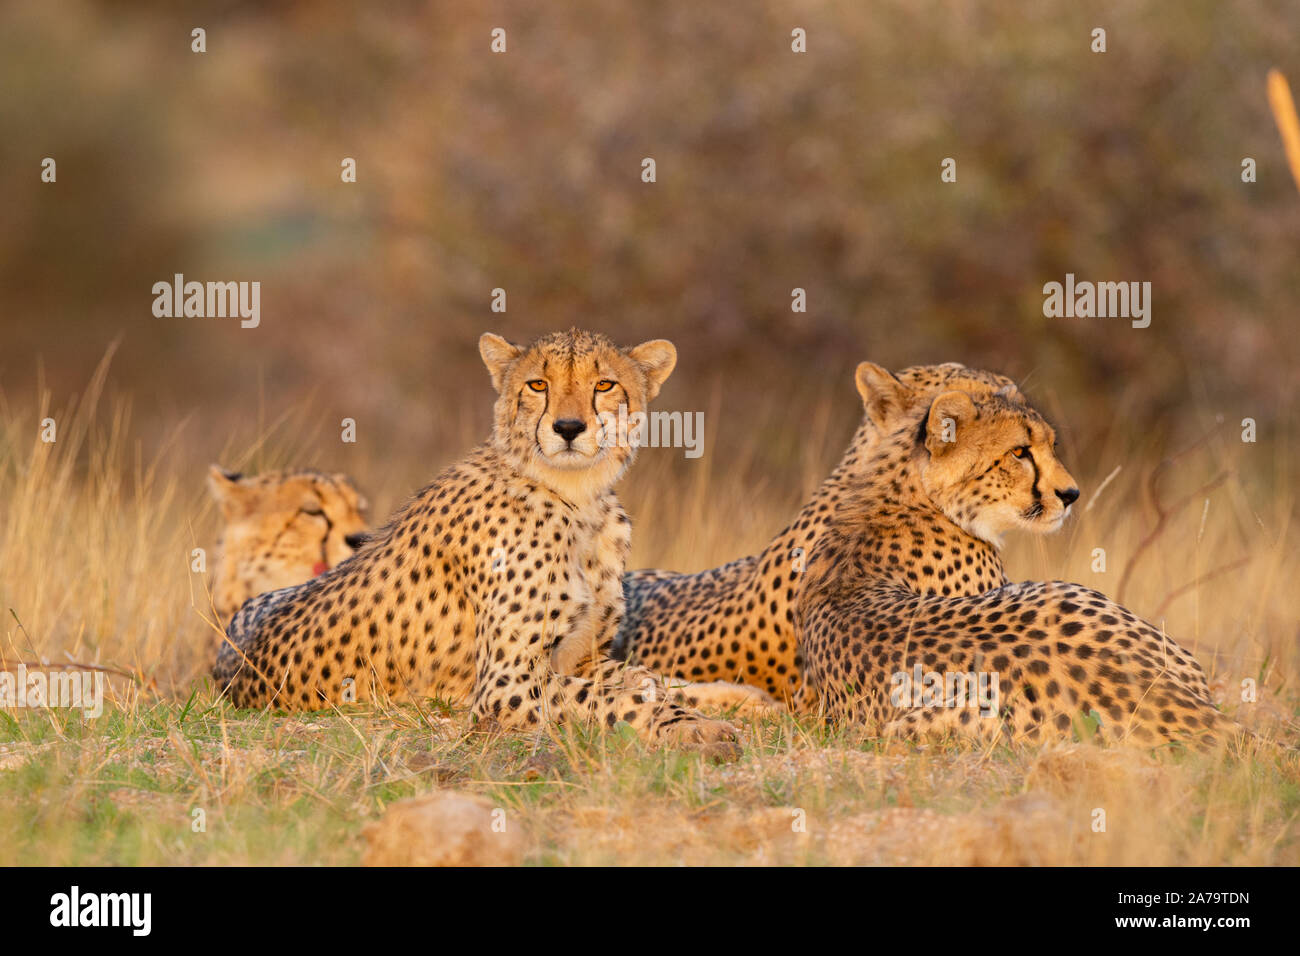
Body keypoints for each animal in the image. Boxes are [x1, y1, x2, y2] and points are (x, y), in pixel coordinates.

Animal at [214, 328, 742, 752]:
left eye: (605, 384)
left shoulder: (585, 657)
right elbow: (614, 698)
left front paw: (692, 716)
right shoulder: (505, 687)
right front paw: (686, 727)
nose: (569, 428)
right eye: (538, 384)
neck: (578, 500)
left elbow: (641, 680)